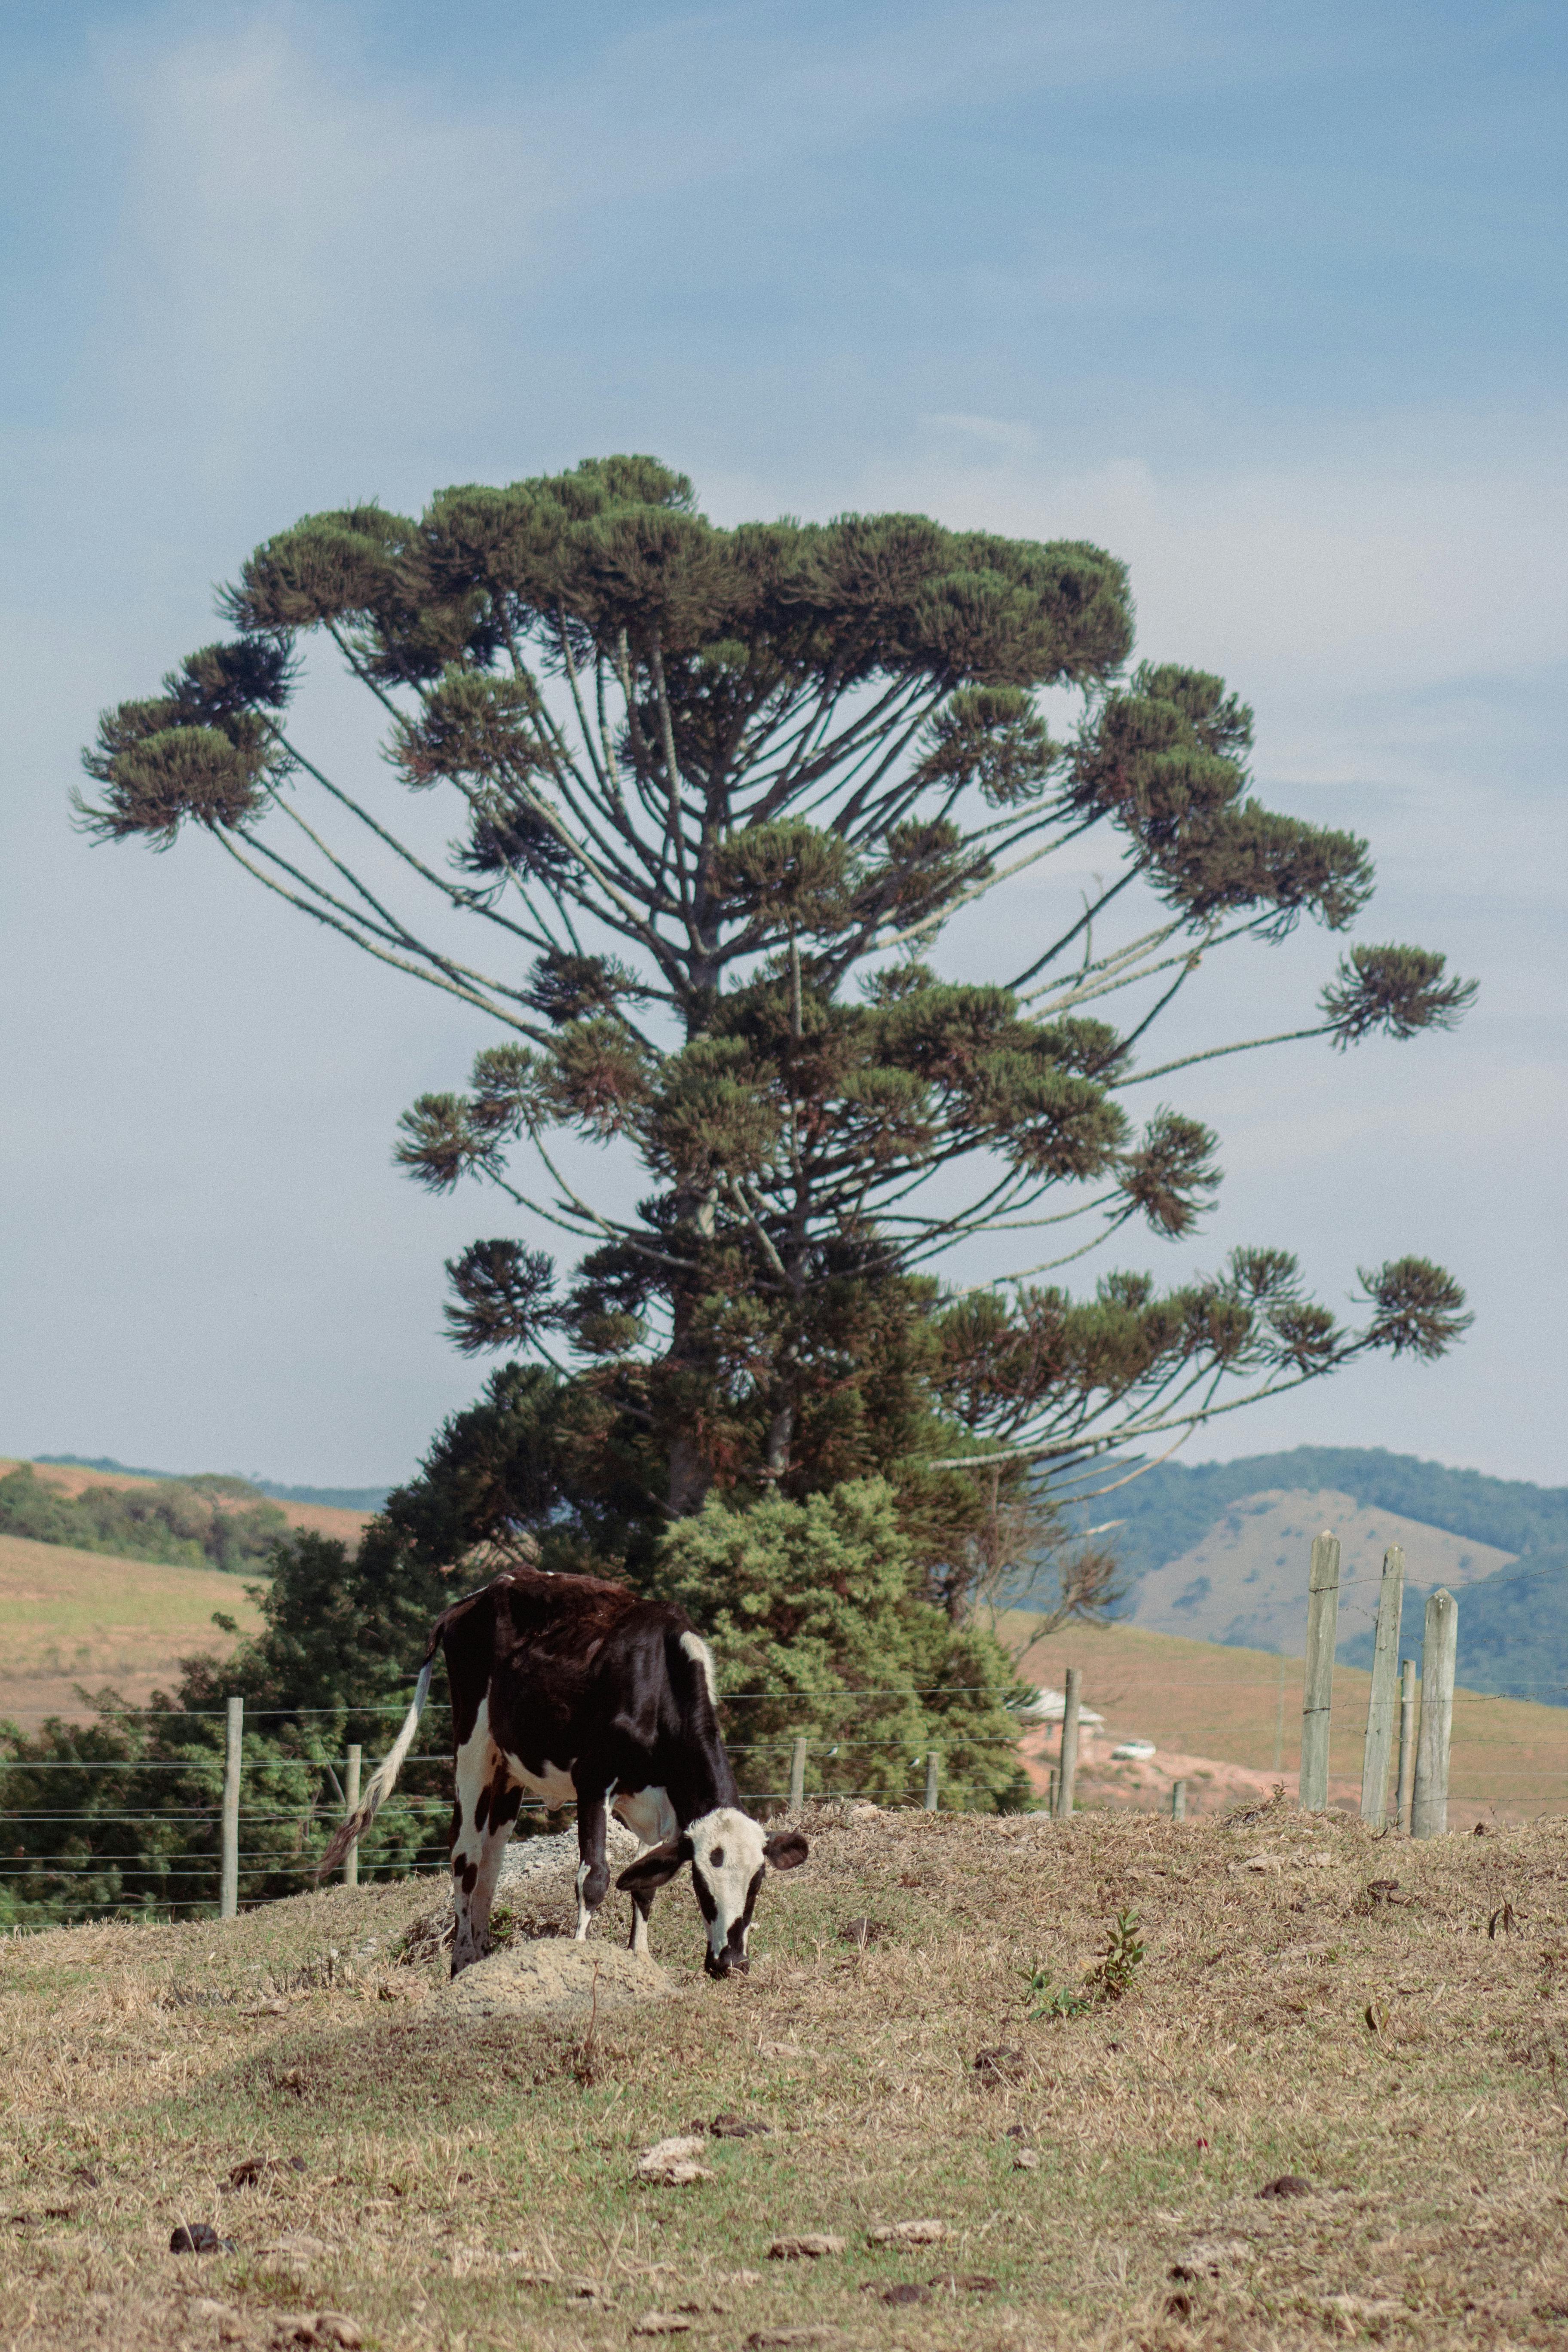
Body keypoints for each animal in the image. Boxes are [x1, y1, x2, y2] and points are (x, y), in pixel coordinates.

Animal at [318, 1565, 809, 1977]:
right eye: (702, 1884)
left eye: (758, 1882)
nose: (731, 1963)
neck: (657, 1681)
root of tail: (476, 1596)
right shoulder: (593, 1781)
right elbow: (595, 1879)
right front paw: (576, 1955)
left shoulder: (667, 1808)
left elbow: (644, 1884)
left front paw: (640, 1960)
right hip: (473, 1742)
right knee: (466, 1855)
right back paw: (461, 1963)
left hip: (507, 1771)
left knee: (492, 1864)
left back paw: (482, 1959)